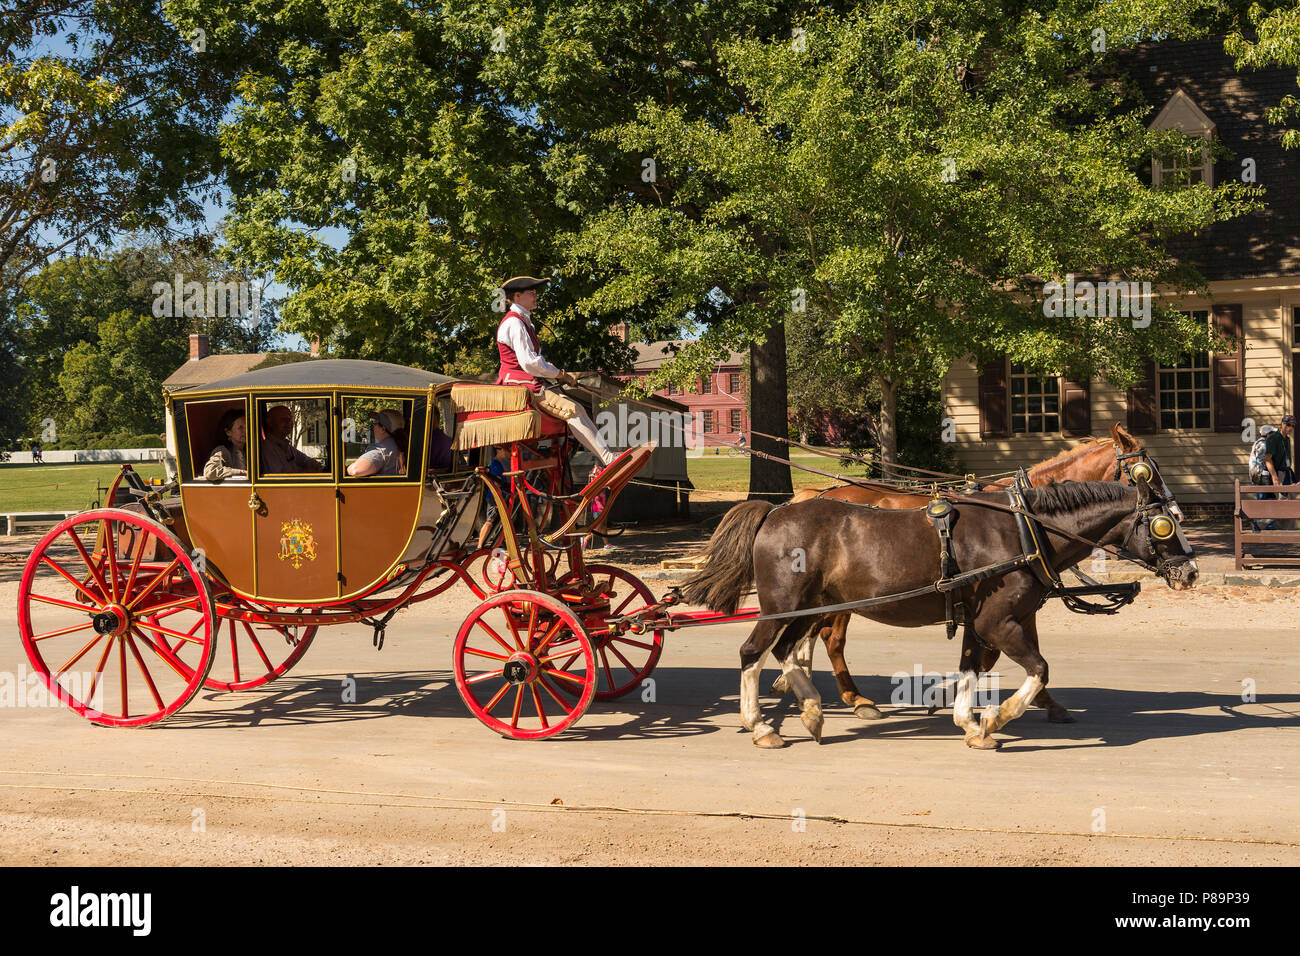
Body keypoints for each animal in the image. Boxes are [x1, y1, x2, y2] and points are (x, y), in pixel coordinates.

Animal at [681, 475, 1197, 749]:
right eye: (1165, 524)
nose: (1191, 572)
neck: (1024, 532)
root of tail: (775, 512)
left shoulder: (986, 622)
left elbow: (972, 667)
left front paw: (971, 723)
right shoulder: (997, 621)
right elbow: (1038, 669)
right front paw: (997, 717)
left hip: (812, 605)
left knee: (788, 650)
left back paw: (810, 710)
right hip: (782, 604)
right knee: (753, 652)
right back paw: (760, 725)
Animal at [777, 423, 1180, 724]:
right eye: (1145, 473)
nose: (1175, 511)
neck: (1026, 514)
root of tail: (812, 495)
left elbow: (1003, 652)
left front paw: (1041, 702)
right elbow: (1002, 653)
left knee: (810, 634)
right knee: (830, 638)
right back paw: (852, 697)